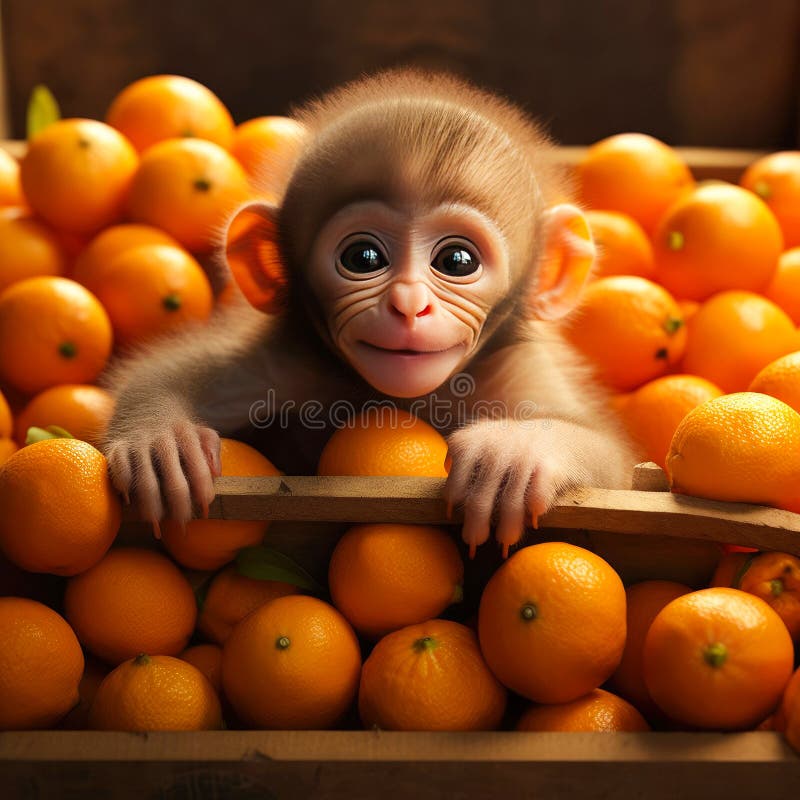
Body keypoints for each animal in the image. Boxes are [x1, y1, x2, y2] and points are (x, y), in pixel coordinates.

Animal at [103, 69, 635, 557]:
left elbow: (616, 467)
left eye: (457, 261)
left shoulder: (521, 371)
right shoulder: (291, 359)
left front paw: (516, 452)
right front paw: (161, 440)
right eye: (363, 258)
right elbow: (167, 374)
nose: (408, 304)